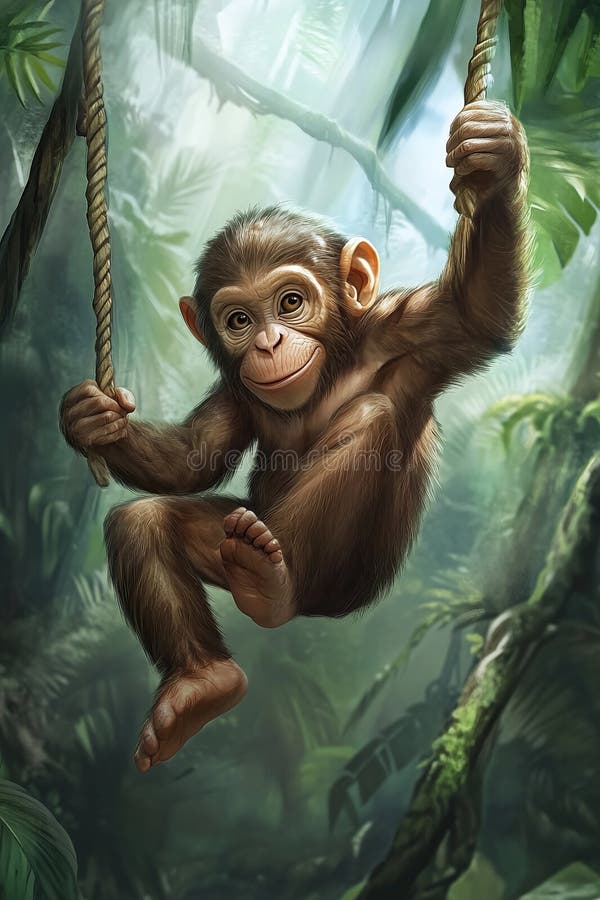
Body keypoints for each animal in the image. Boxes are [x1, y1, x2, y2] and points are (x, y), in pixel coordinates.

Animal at [60, 100, 530, 773]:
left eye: (290, 302)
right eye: (238, 319)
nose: (268, 342)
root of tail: (308, 609)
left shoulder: (408, 330)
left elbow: (474, 315)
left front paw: (492, 158)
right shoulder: (235, 395)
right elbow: (193, 457)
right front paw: (92, 420)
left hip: (338, 577)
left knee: (370, 419)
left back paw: (270, 585)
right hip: (232, 536)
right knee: (146, 522)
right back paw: (201, 683)